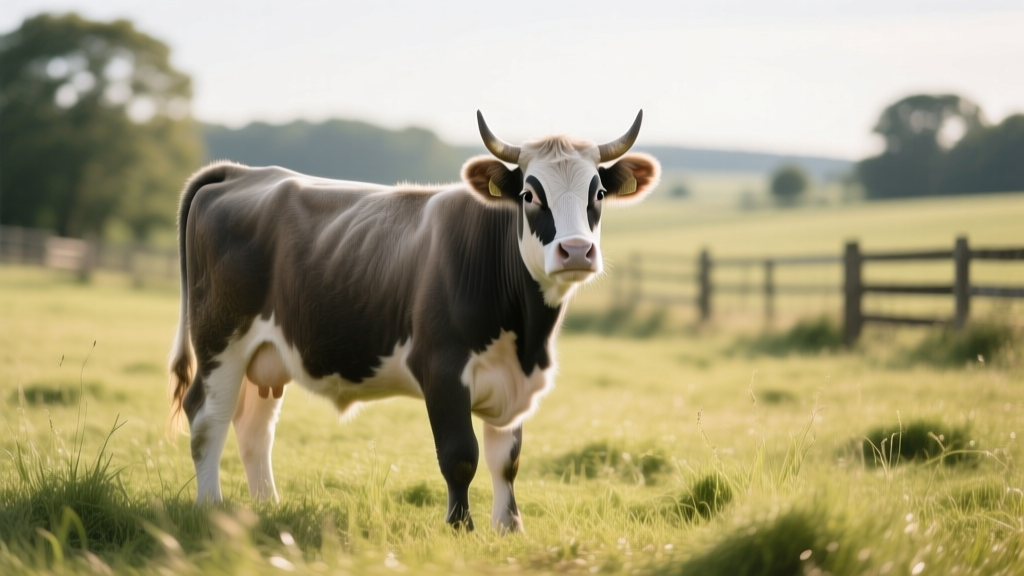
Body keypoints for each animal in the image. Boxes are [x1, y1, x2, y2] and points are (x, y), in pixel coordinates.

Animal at [168, 111, 660, 532]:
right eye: (529, 194)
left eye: (598, 194)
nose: (576, 250)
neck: (527, 335)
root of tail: (243, 173)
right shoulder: (442, 370)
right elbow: (460, 455)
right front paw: (461, 528)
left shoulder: (514, 381)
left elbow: (507, 460)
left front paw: (509, 528)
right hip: (219, 340)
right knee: (207, 418)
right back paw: (210, 506)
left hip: (267, 355)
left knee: (254, 428)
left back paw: (267, 508)